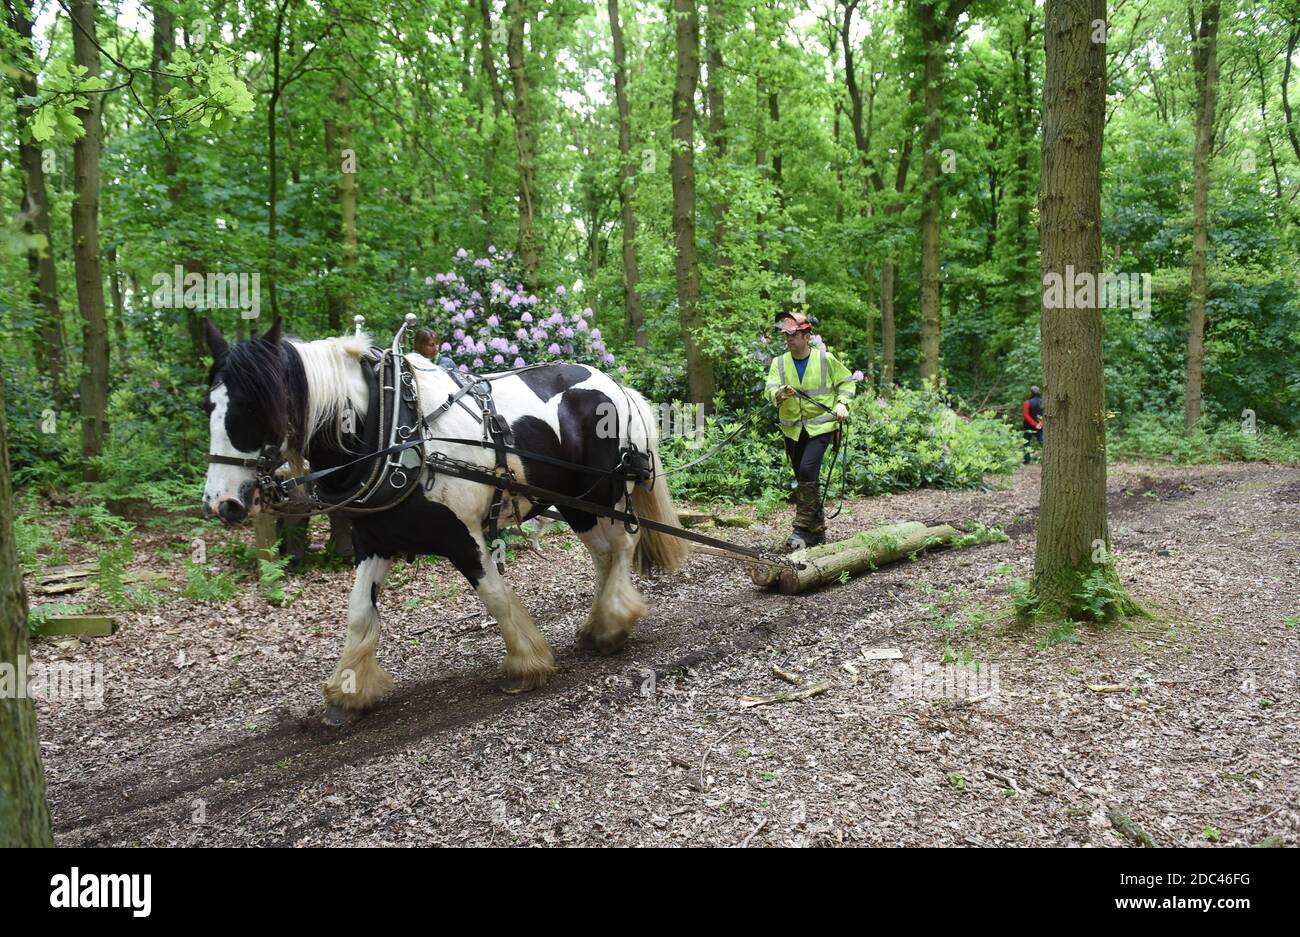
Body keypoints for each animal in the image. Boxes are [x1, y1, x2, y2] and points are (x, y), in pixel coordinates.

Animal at [200, 317, 689, 719]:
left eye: (253, 407)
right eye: (208, 406)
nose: (220, 503)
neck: (393, 429)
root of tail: (618, 387)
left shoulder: (461, 535)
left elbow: (494, 595)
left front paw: (526, 664)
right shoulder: (373, 540)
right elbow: (359, 612)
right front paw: (348, 691)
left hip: (603, 493)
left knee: (622, 547)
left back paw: (613, 622)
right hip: (575, 502)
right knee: (605, 555)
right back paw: (599, 622)